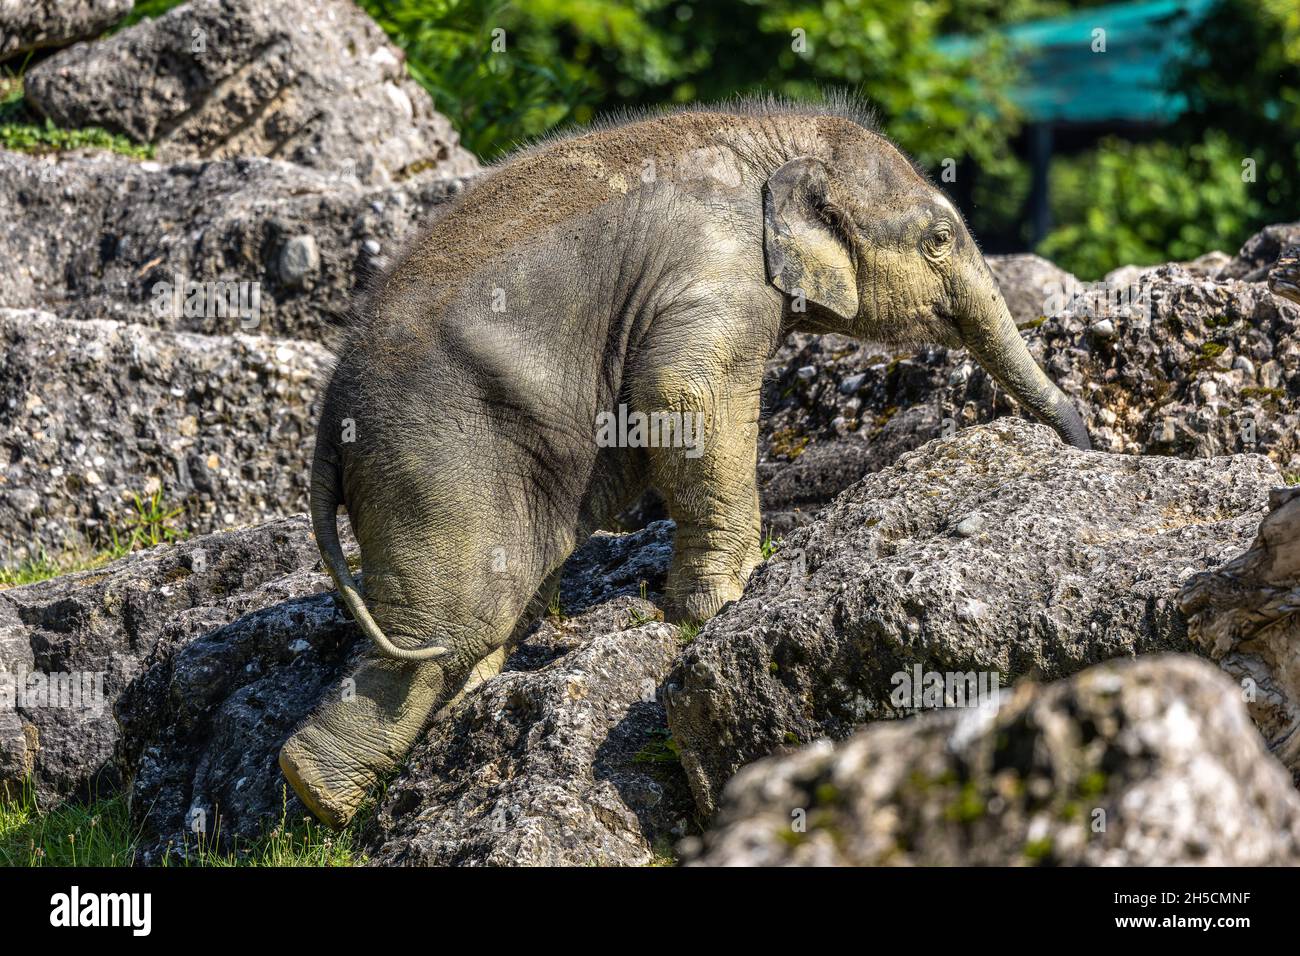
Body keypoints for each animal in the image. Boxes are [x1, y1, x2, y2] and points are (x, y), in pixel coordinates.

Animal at [279, 96, 1090, 827]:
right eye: (940, 238)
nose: (1083, 438)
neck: (777, 139)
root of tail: (326, 423)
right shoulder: (716, 266)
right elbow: (682, 391)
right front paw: (720, 605)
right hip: (433, 461)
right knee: (444, 623)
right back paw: (317, 793)